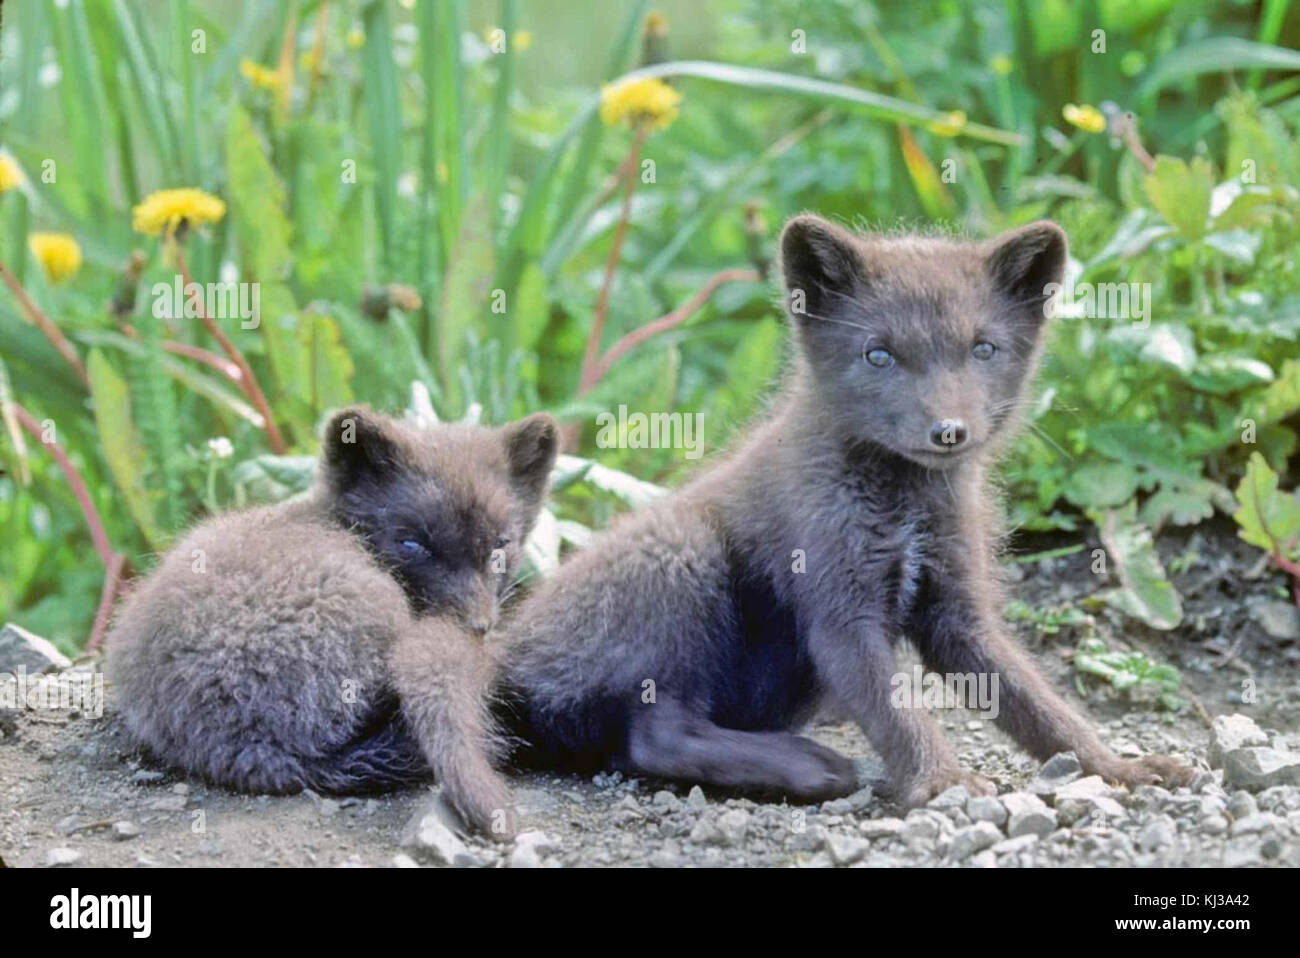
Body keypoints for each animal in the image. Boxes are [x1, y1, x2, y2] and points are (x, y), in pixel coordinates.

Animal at [494, 215, 1195, 806]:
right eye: (878, 354)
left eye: (983, 349)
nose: (949, 431)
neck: (906, 505)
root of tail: (506, 665)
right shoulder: (841, 611)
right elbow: (895, 710)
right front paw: (942, 779)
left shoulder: (961, 615)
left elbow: (1041, 703)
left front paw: (1117, 766)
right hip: (683, 561)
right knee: (656, 734)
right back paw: (811, 768)